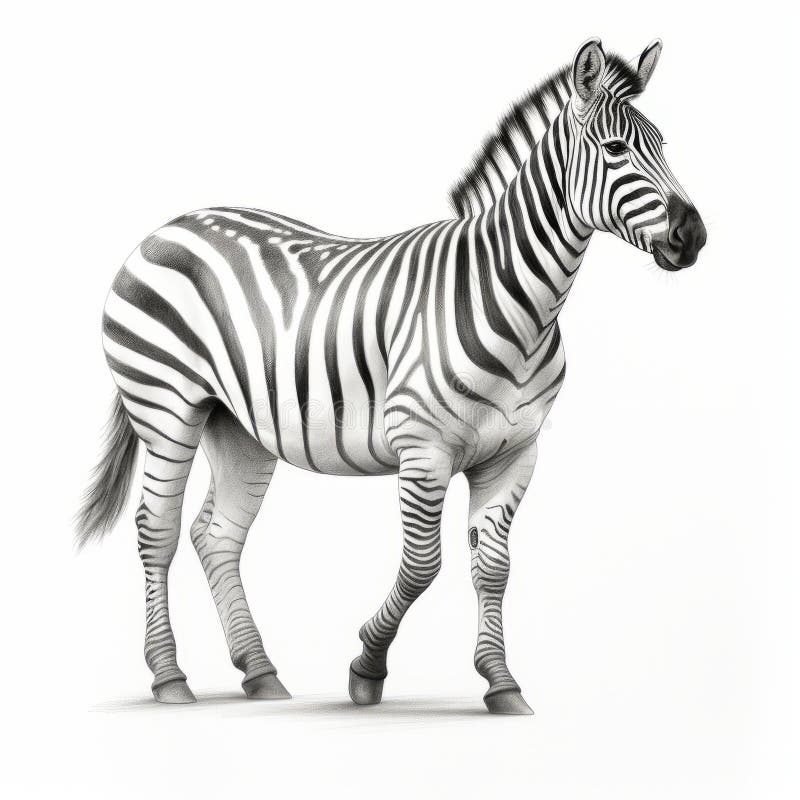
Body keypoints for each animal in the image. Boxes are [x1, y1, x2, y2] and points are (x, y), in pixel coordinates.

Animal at [76, 38, 706, 714]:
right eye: (615, 150)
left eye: (664, 146)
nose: (694, 234)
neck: (517, 303)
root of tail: (167, 226)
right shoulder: (422, 448)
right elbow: (422, 565)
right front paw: (366, 667)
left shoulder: (515, 453)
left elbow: (494, 568)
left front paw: (502, 683)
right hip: (166, 404)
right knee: (157, 529)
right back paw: (170, 678)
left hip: (236, 425)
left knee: (216, 534)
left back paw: (261, 673)